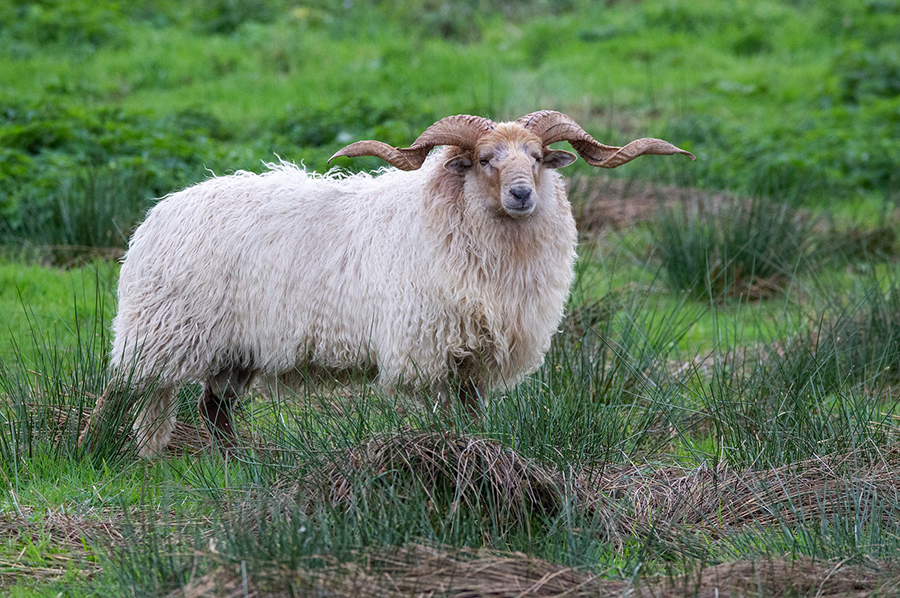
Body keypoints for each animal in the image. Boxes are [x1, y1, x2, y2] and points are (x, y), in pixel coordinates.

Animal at [94, 110, 694, 456]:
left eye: (539, 157)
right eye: (483, 159)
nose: (522, 194)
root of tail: (156, 217)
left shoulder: (472, 354)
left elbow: (472, 412)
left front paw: (479, 448)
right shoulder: (426, 346)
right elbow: (442, 417)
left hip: (234, 346)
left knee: (214, 410)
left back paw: (237, 464)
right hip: (161, 332)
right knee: (121, 392)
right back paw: (96, 445)